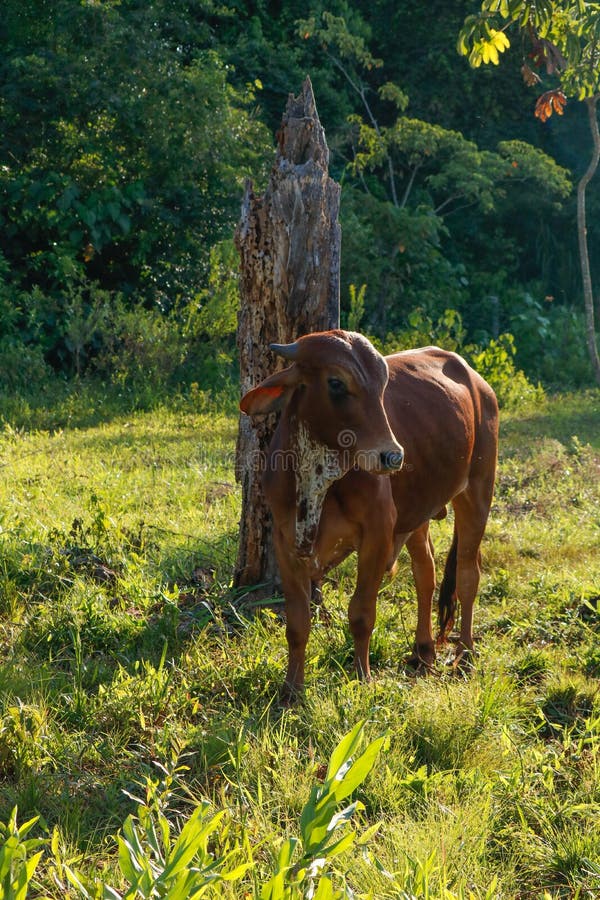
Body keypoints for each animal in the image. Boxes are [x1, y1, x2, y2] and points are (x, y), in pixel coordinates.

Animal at [240, 329, 498, 700]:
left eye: (383, 385)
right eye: (335, 382)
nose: (392, 456)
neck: (317, 477)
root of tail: (477, 381)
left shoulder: (377, 535)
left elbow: (361, 614)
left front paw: (363, 678)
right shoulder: (285, 540)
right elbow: (297, 624)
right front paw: (291, 689)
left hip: (478, 491)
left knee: (467, 576)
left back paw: (464, 655)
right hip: (418, 513)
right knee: (426, 572)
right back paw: (422, 651)